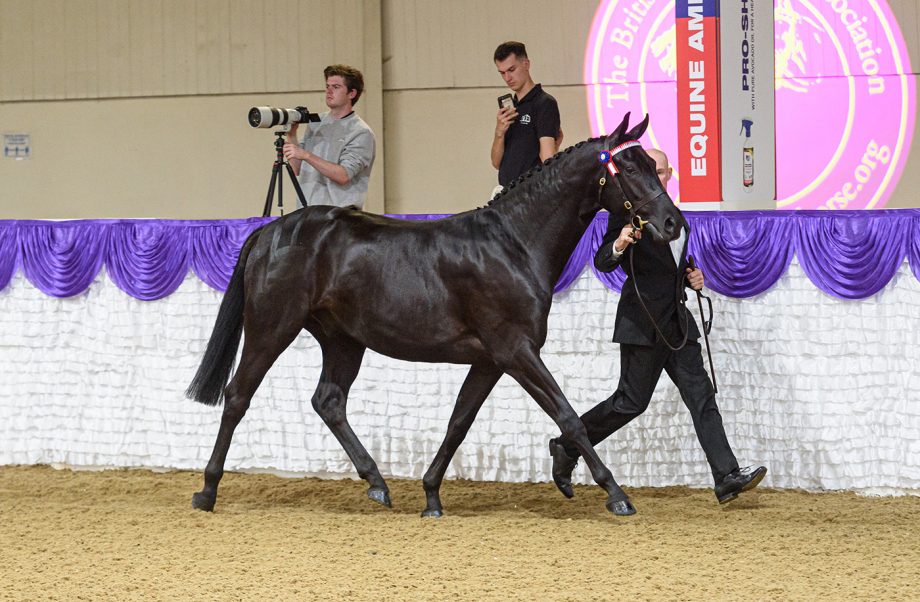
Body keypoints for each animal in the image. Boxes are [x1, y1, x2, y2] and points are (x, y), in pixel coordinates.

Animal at [186, 112, 684, 517]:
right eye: (631, 169)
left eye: (650, 164)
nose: (673, 223)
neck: (514, 244)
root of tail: (270, 230)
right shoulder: (516, 351)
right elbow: (568, 415)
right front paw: (617, 495)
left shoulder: (489, 359)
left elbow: (458, 422)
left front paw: (430, 496)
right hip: (273, 327)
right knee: (238, 395)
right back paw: (207, 491)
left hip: (343, 340)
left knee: (328, 401)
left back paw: (378, 484)